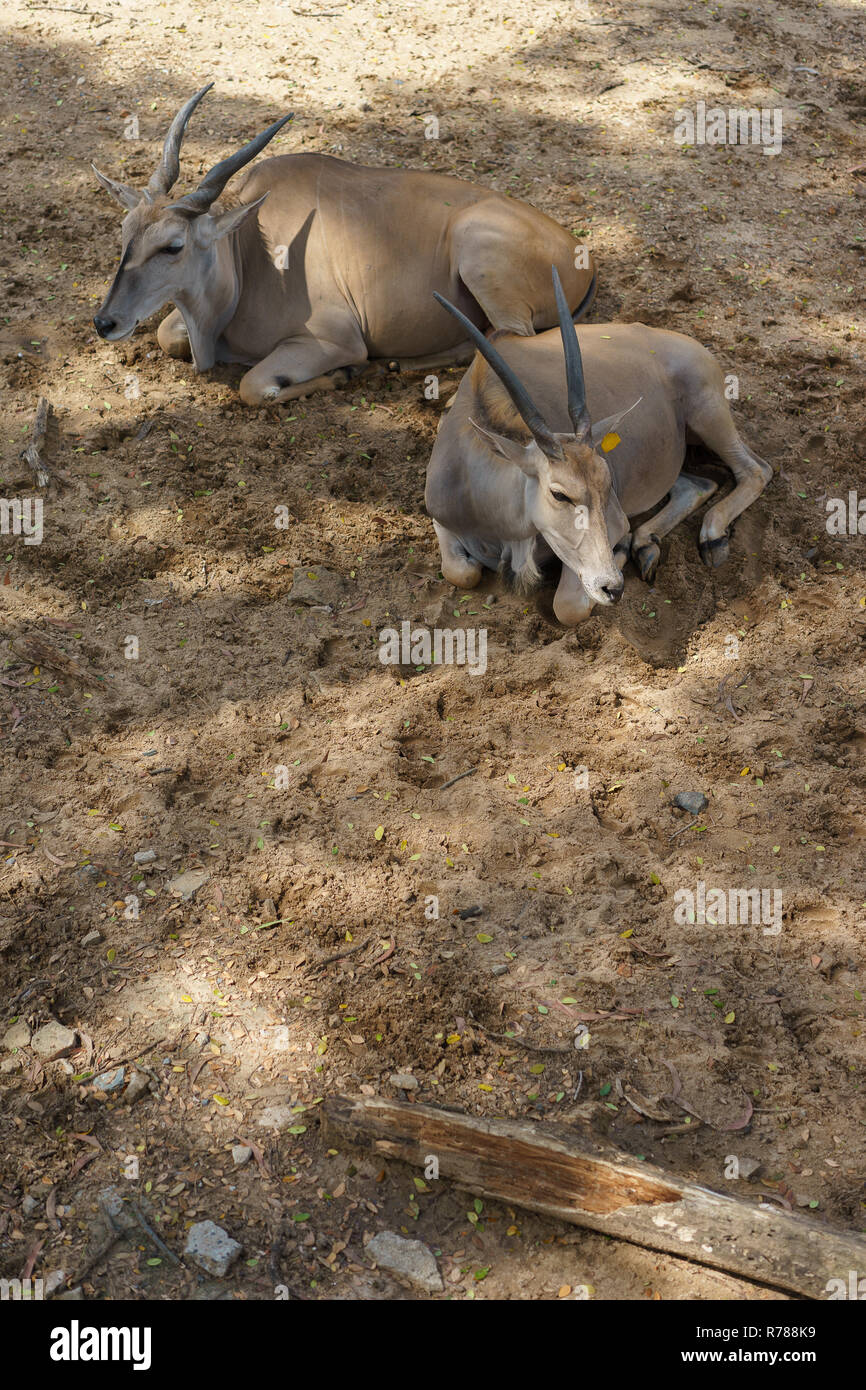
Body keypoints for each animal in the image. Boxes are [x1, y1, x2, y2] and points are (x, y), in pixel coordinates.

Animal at [91, 85, 597, 405]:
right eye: (124, 232)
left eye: (173, 246)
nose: (105, 322)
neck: (251, 259)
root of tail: (580, 254)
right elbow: (166, 334)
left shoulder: (335, 339)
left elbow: (254, 386)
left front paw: (344, 375)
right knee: (483, 338)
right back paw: (401, 365)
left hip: (479, 254)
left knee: (510, 339)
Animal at [426, 270, 772, 625]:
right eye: (559, 494)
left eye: (606, 486)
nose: (612, 587)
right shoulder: (439, 517)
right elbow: (460, 572)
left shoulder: (613, 524)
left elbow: (567, 607)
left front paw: (621, 550)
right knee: (699, 484)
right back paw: (646, 543)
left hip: (707, 413)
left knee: (756, 470)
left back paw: (710, 535)